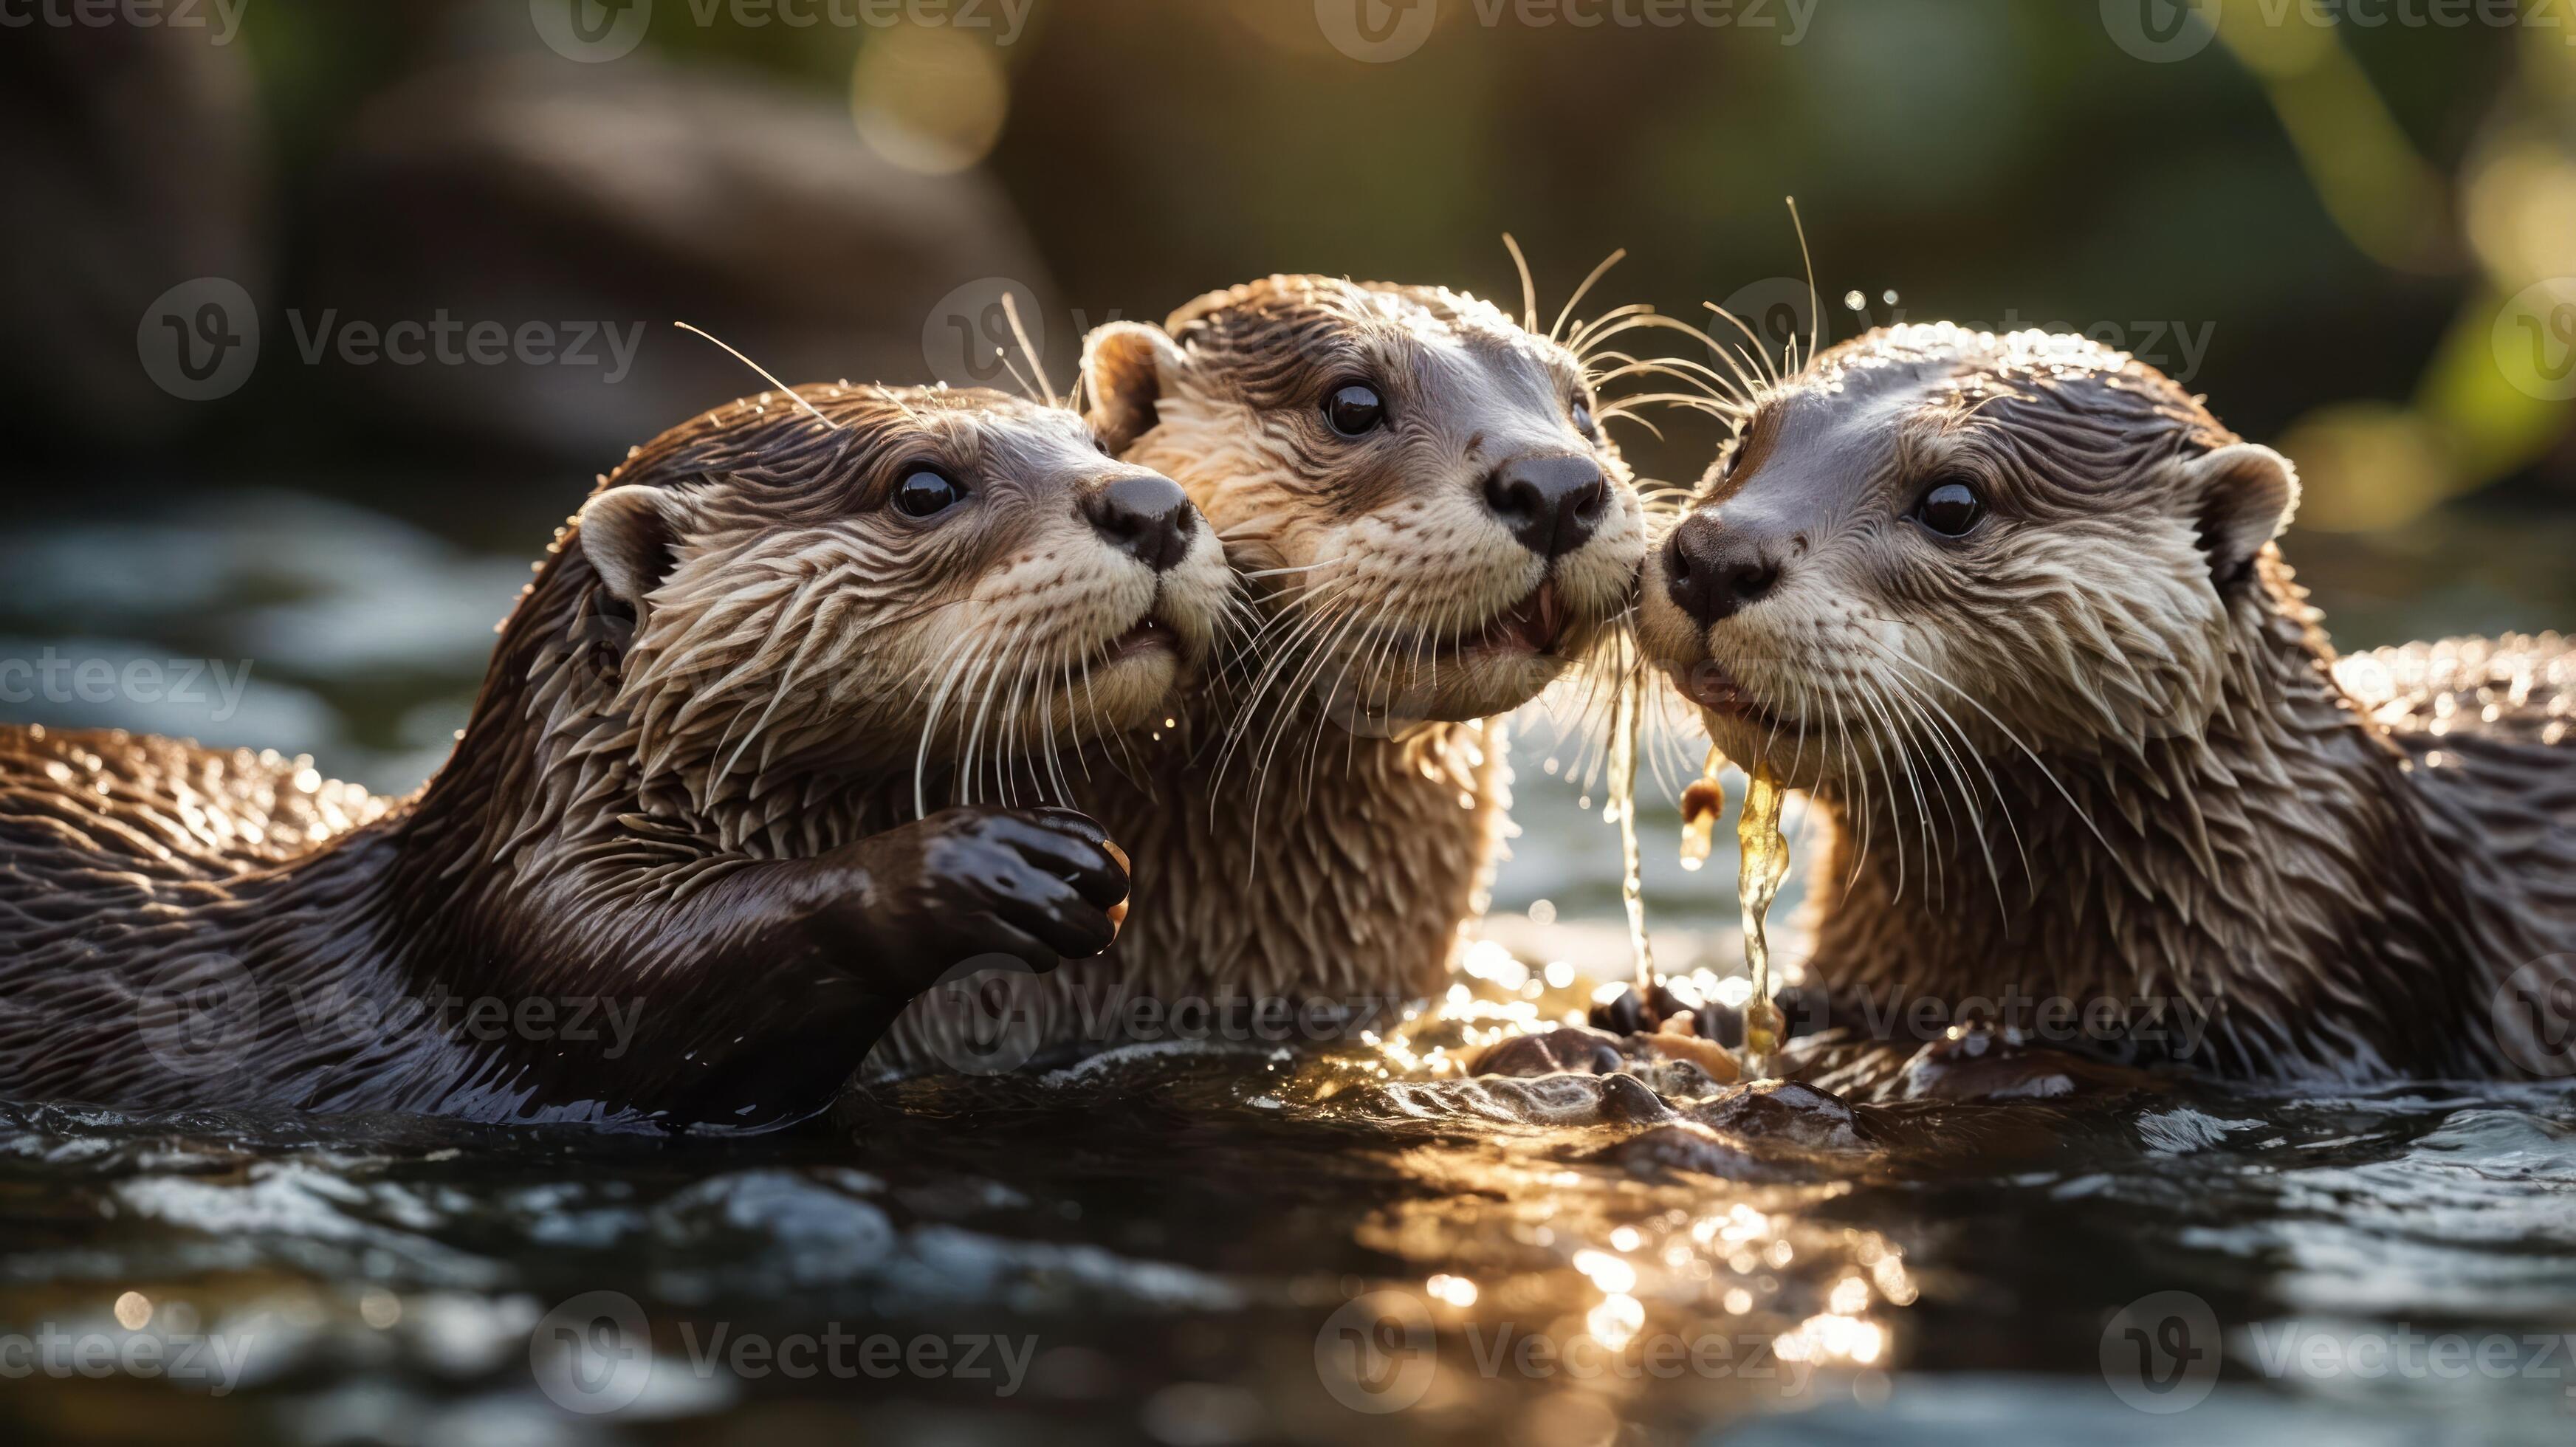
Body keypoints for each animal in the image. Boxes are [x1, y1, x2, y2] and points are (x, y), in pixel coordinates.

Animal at [0, 384, 1232, 1128]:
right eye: (923, 485)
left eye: (1104, 445)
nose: (1154, 503)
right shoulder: (534, 941)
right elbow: (689, 973)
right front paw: (982, 861)